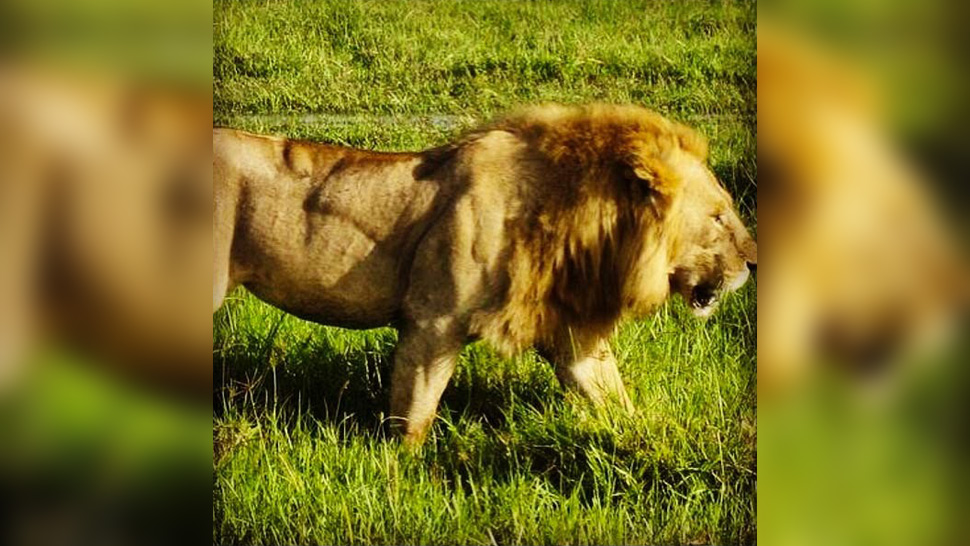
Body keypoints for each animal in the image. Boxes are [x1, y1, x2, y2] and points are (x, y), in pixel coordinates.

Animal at [213, 104, 757, 444]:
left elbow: (612, 396)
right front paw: (400, 474)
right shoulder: (431, 322)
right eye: (717, 217)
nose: (754, 261)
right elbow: (415, 413)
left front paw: (645, 439)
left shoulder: (569, 333)